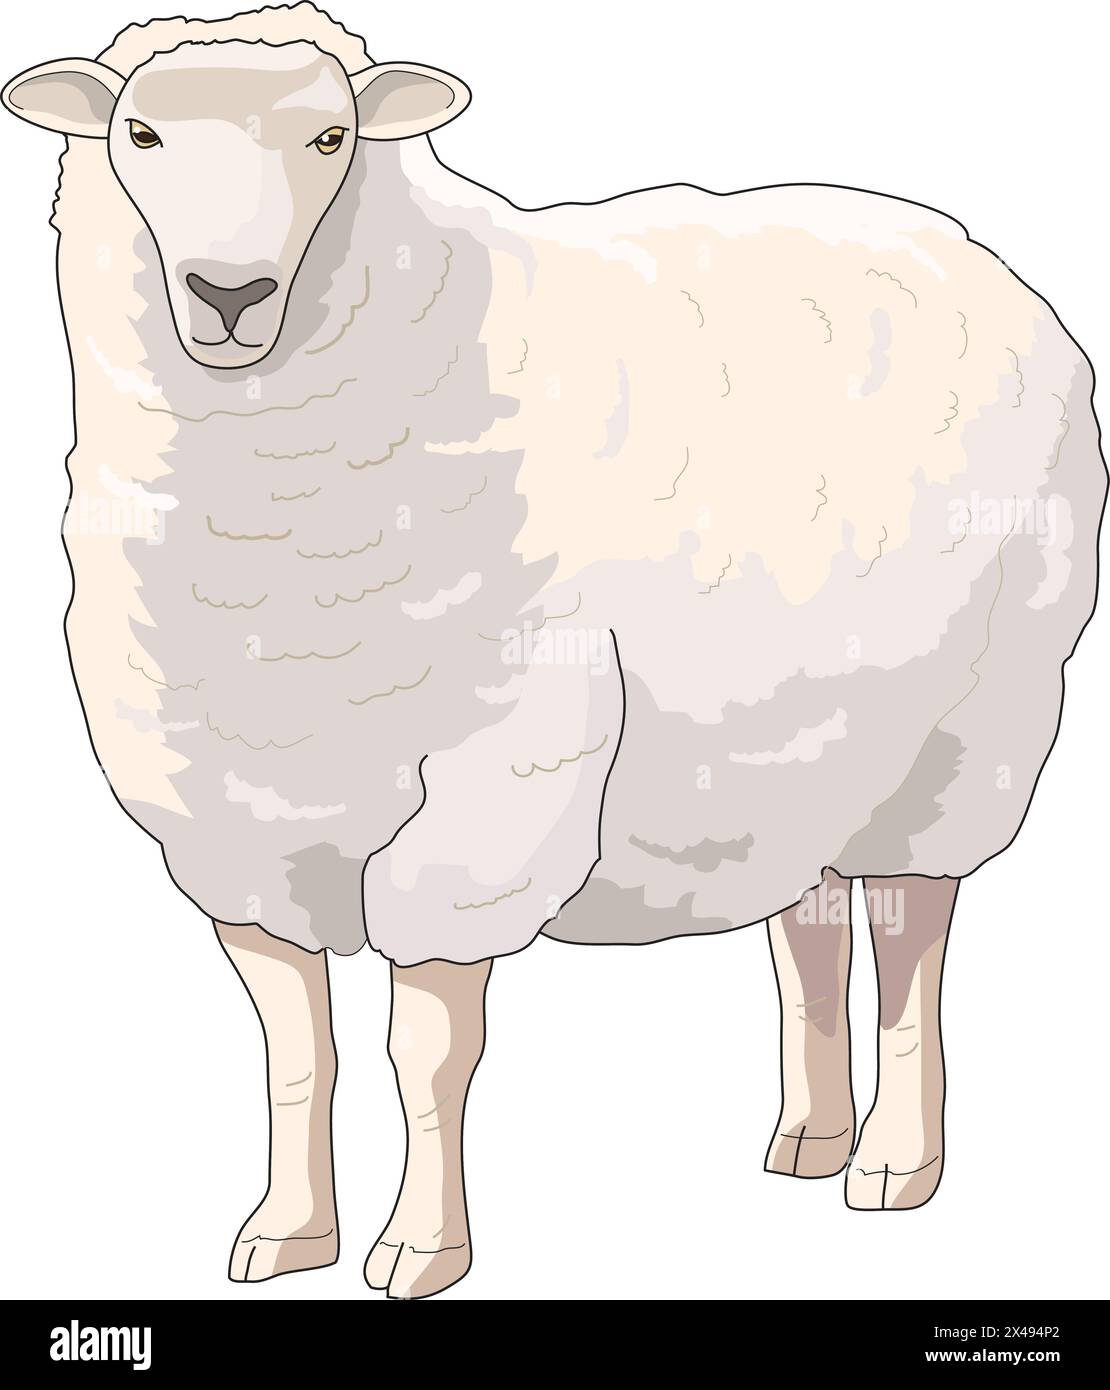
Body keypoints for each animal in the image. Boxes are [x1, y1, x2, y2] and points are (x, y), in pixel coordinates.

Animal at [3, 1, 1104, 1300]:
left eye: (332, 136)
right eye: (140, 134)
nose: (231, 292)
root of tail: (978, 253)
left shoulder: (487, 792)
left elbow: (424, 1047)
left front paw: (419, 1247)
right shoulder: (236, 821)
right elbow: (295, 1047)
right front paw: (286, 1231)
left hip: (972, 731)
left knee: (909, 933)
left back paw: (893, 1161)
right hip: (803, 745)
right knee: (811, 923)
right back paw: (808, 1138)